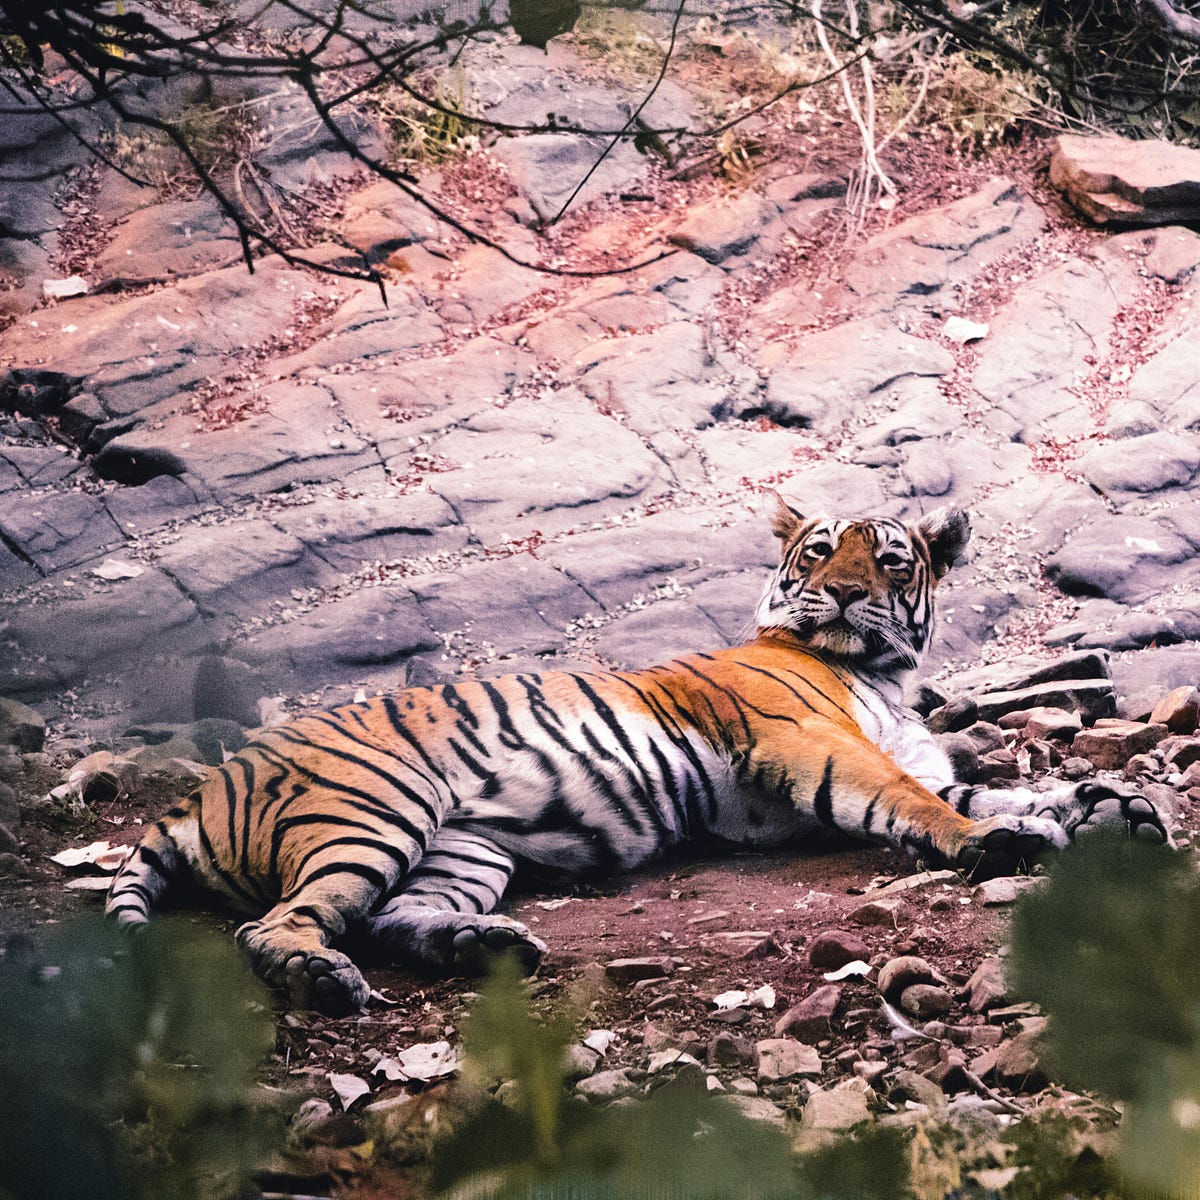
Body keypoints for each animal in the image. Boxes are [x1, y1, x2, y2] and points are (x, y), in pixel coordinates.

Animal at [106, 496, 1170, 1014]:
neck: (884, 673)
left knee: (387, 919)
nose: (844, 593)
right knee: (278, 926)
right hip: (374, 811)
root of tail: (203, 788)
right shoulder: (807, 742)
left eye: (890, 558)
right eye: (819, 552)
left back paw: (483, 947)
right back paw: (323, 983)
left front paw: (1113, 808)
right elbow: (918, 802)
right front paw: (1001, 844)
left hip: (460, 851)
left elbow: (1001, 788)